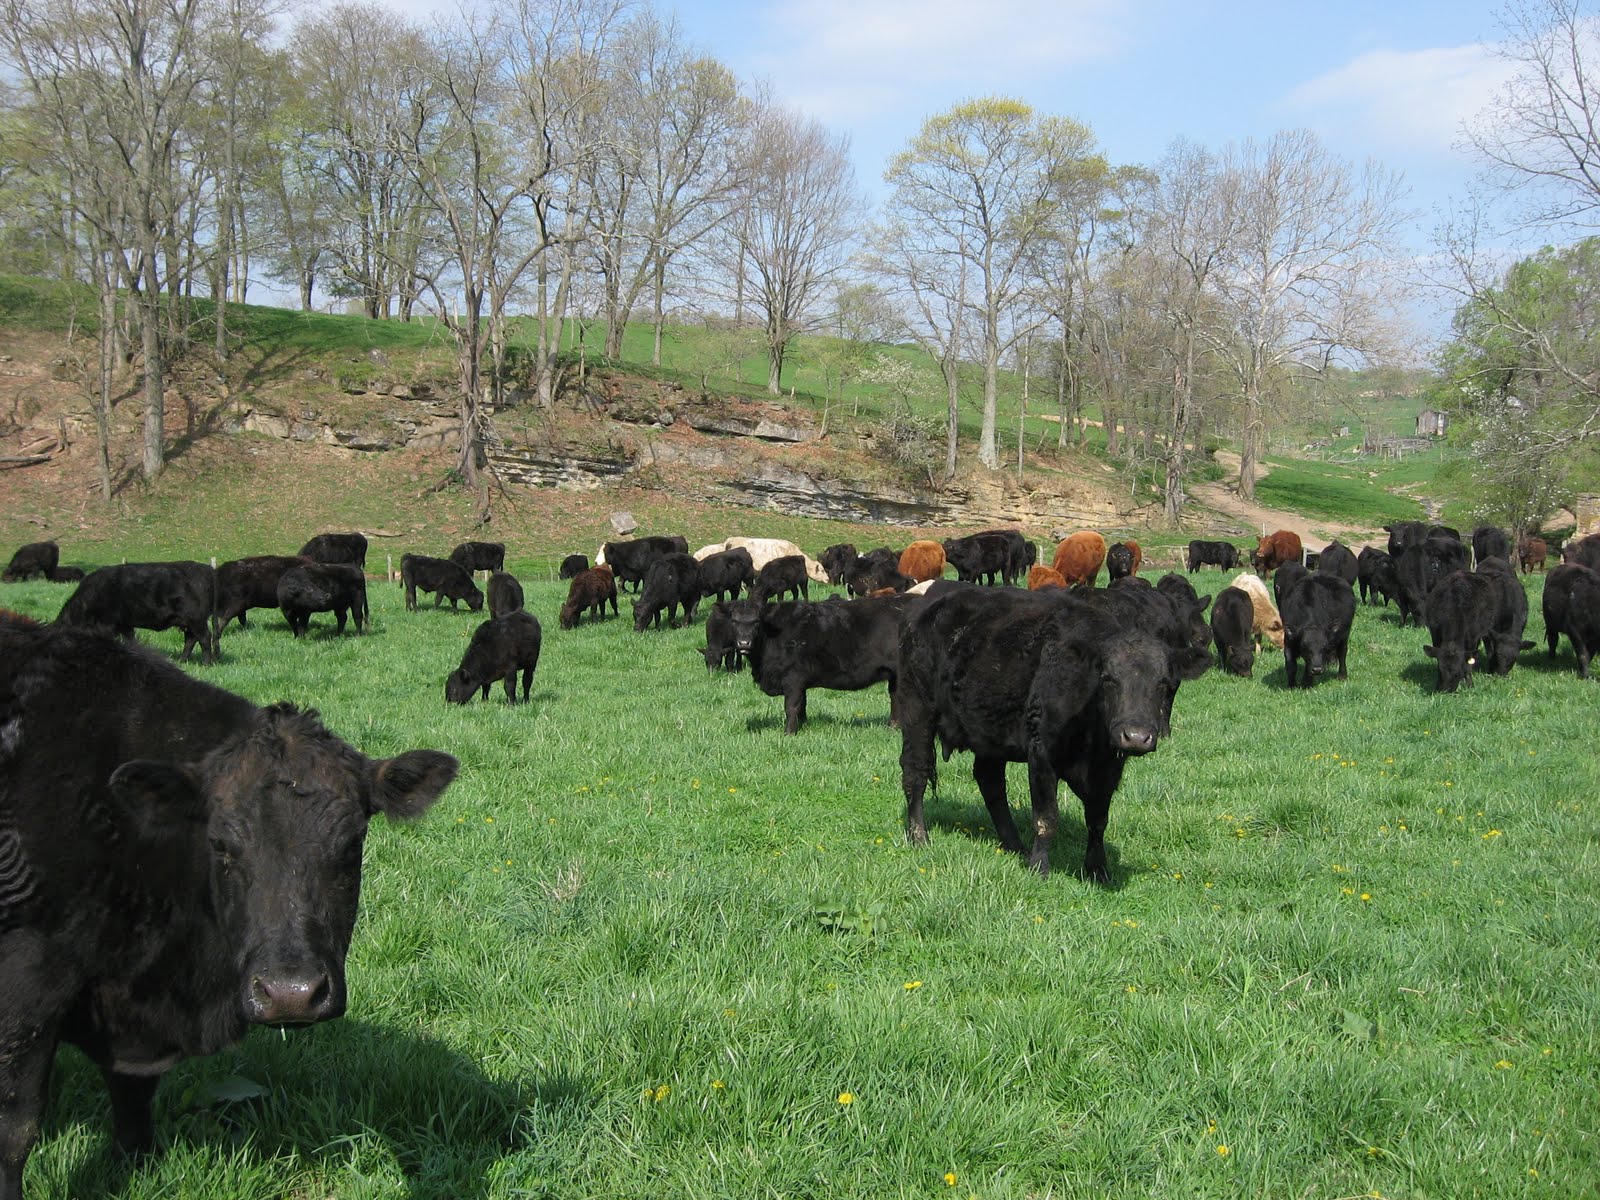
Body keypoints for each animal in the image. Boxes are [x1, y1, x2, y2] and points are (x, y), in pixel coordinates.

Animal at [0, 621, 457, 1198]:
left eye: (352, 842)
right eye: (220, 844)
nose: (290, 994)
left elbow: (133, 1097)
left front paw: (134, 1165)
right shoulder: (24, 985)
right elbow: (16, 1129)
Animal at [56, 561, 217, 664]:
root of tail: (208, 571)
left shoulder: (109, 624)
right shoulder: (125, 624)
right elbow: (130, 639)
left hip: (196, 619)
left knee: (204, 638)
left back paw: (206, 663)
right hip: (189, 622)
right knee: (190, 639)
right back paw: (182, 661)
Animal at [725, 594, 920, 734]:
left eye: (756, 622)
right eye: (733, 622)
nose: (744, 643)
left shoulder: (793, 678)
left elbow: (791, 706)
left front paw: (789, 733)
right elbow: (802, 706)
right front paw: (802, 726)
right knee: (895, 697)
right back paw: (893, 727)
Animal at [897, 587, 1209, 881]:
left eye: (1164, 683)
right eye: (1108, 680)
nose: (1135, 736)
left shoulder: (1109, 768)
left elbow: (1098, 819)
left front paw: (1097, 869)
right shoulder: (1041, 756)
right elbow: (1046, 819)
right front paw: (1039, 869)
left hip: (989, 735)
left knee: (990, 782)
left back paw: (1013, 845)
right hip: (916, 711)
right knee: (915, 772)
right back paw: (919, 837)